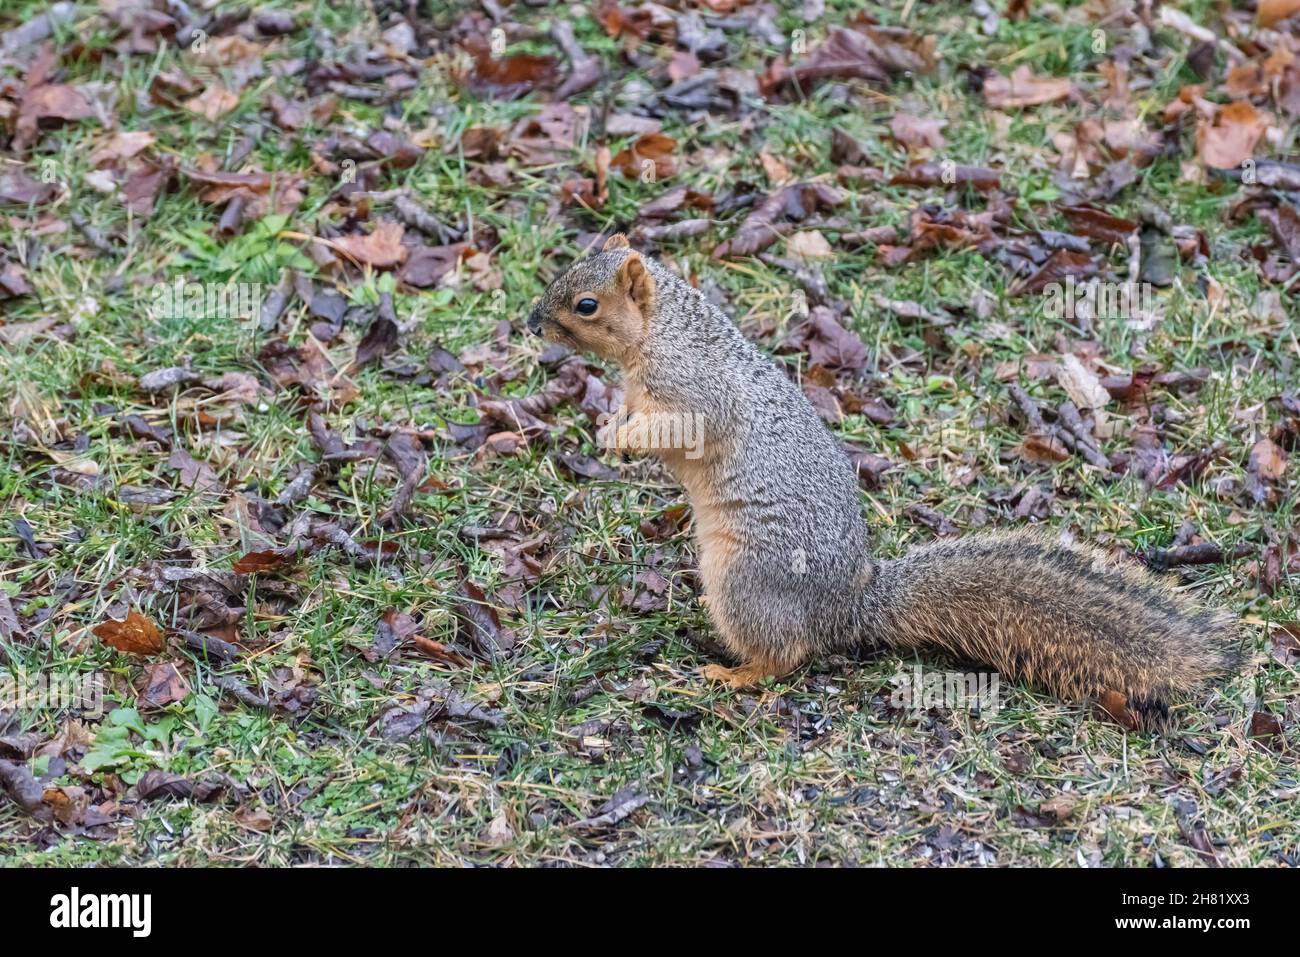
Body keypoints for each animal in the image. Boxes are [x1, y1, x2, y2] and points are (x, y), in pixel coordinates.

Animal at [526, 236, 1246, 730]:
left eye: (586, 304)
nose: (532, 322)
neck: (662, 335)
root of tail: (849, 607)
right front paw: (608, 423)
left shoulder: (693, 394)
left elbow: (674, 431)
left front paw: (615, 439)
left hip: (744, 582)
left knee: (786, 654)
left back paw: (730, 672)